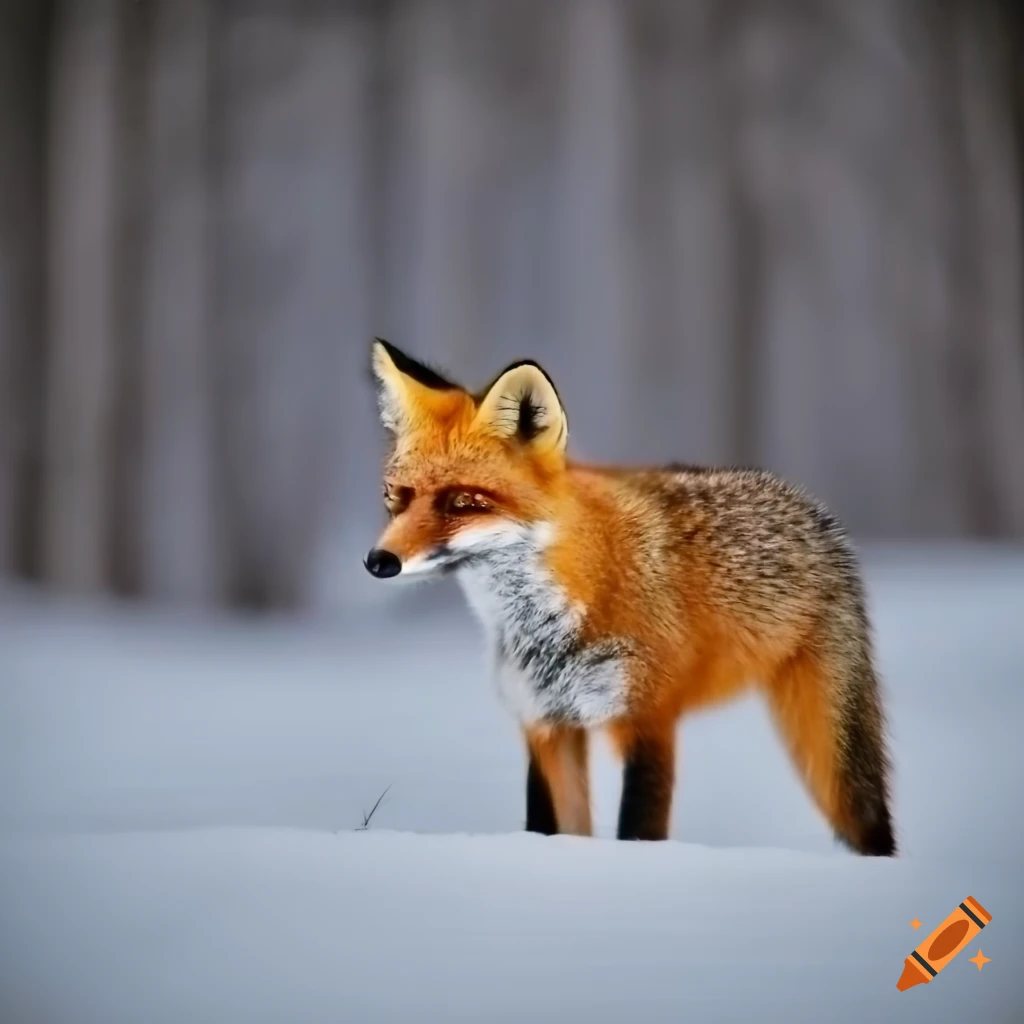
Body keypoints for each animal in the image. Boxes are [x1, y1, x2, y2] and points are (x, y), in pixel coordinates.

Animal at [364, 338, 897, 855]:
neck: (551, 623)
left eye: (461, 503)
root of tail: (801, 499)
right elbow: (554, 830)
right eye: (395, 496)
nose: (378, 561)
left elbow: (638, 832)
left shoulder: (648, 719)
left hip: (828, 754)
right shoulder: (545, 722)